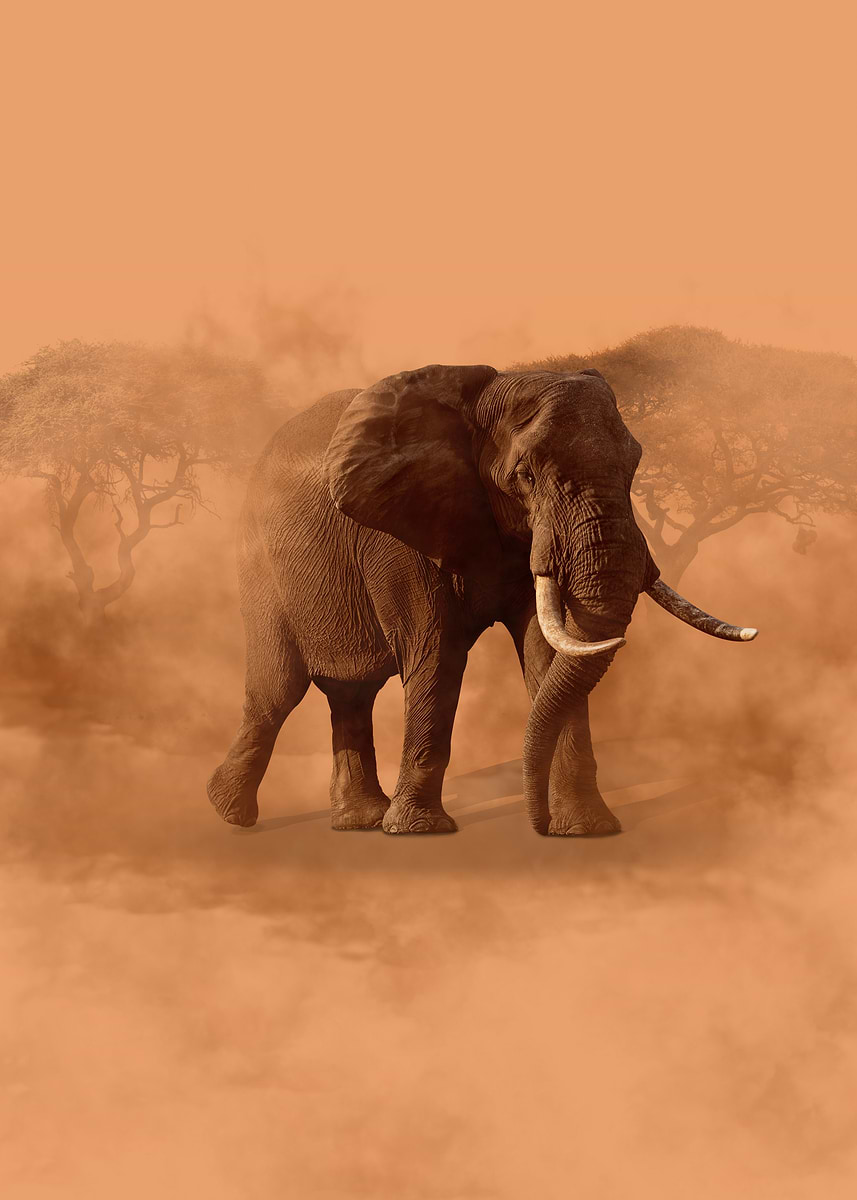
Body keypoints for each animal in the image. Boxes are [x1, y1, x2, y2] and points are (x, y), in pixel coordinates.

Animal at [207, 364, 757, 836]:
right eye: (526, 476)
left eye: (635, 465)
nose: (537, 824)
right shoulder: (400, 531)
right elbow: (437, 653)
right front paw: (420, 832)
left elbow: (547, 653)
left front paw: (587, 830)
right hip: (262, 571)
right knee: (278, 689)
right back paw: (230, 812)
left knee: (351, 692)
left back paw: (358, 821)